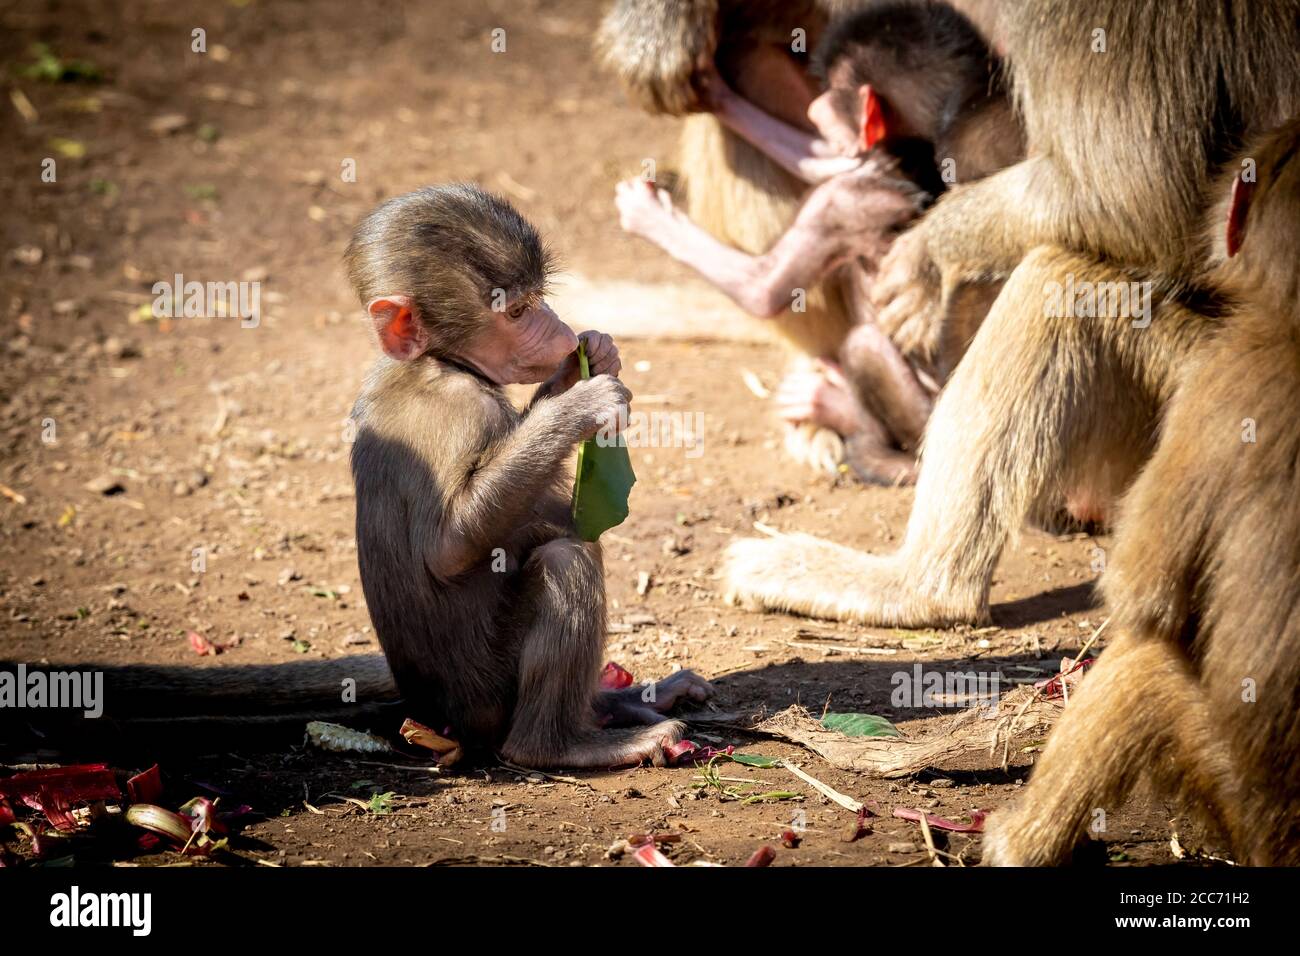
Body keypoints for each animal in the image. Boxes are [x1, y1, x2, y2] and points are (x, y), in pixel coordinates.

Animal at [614, 0, 1023, 485]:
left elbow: (762, 290)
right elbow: (817, 157)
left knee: (863, 348)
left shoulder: (845, 201)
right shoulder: (867, 166)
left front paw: (648, 214)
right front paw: (713, 89)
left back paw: (840, 413)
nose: (814, 110)